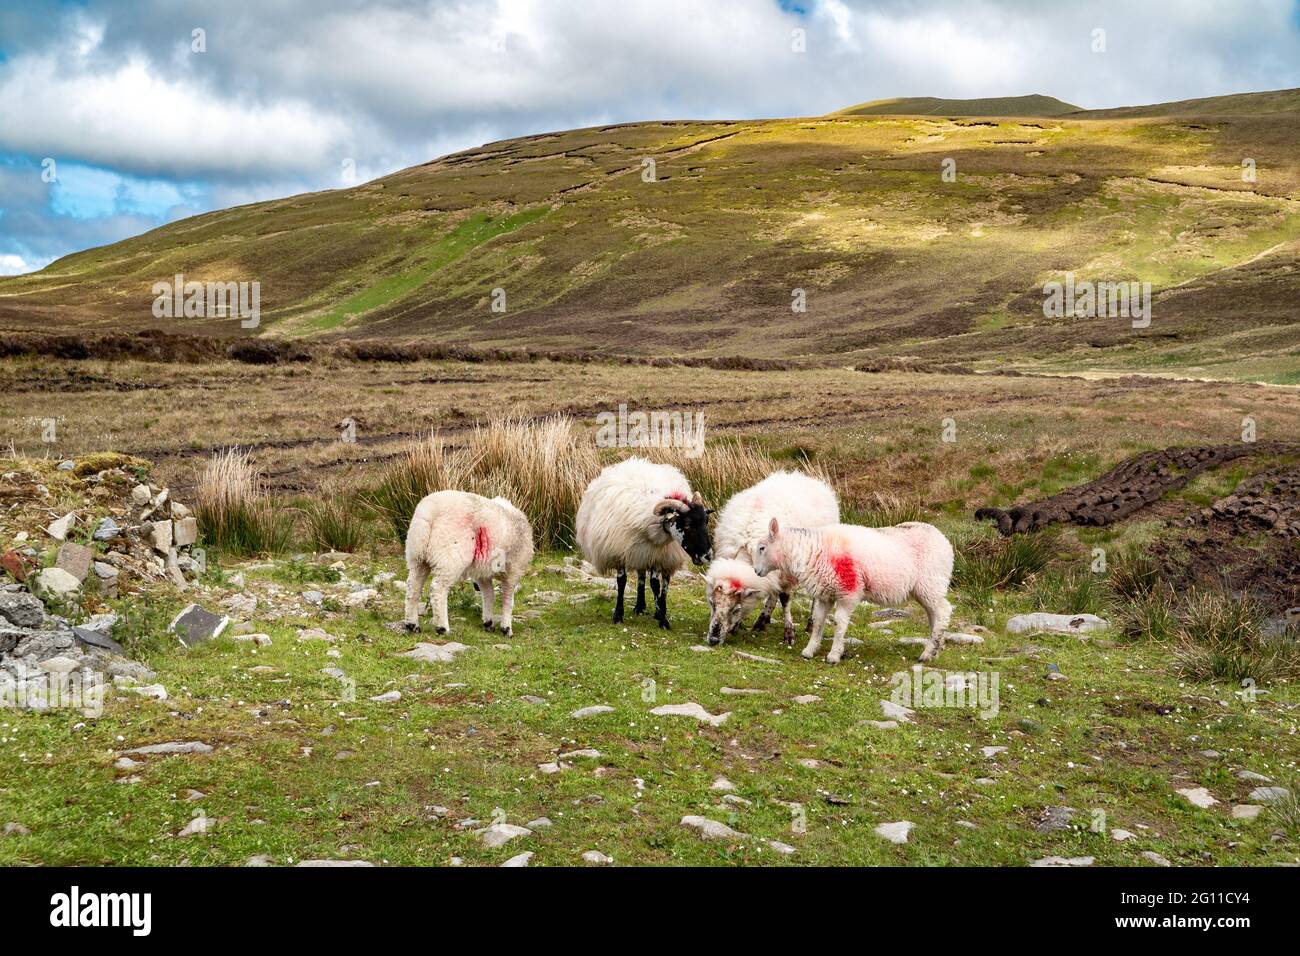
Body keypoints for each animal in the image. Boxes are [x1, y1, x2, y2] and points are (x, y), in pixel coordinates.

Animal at [403, 490, 534, 637]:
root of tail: (429, 512)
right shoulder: (514, 570)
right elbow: (507, 598)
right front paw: (506, 628)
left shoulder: (482, 572)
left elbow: (488, 594)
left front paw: (488, 622)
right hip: (450, 557)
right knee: (438, 589)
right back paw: (442, 628)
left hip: (417, 556)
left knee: (413, 587)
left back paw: (412, 625)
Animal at [575, 457, 712, 629]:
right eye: (687, 525)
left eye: (706, 522)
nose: (708, 556)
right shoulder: (620, 551)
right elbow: (622, 581)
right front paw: (618, 615)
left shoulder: (660, 555)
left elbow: (657, 584)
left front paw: (662, 617)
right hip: (639, 550)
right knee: (641, 576)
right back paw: (640, 606)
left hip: (653, 553)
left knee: (654, 578)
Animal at [705, 471, 839, 646]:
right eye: (712, 603)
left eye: (736, 609)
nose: (713, 639)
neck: (747, 548)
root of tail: (804, 476)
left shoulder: (786, 572)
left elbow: (785, 598)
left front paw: (789, 633)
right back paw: (762, 620)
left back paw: (811, 624)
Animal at [753, 518, 954, 664]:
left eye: (762, 548)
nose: (756, 571)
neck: (810, 551)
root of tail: (945, 541)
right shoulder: (824, 594)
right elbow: (818, 622)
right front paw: (809, 650)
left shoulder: (849, 591)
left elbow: (840, 623)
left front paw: (834, 655)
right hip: (926, 589)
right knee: (934, 615)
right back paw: (936, 650)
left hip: (930, 583)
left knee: (943, 611)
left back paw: (927, 653)